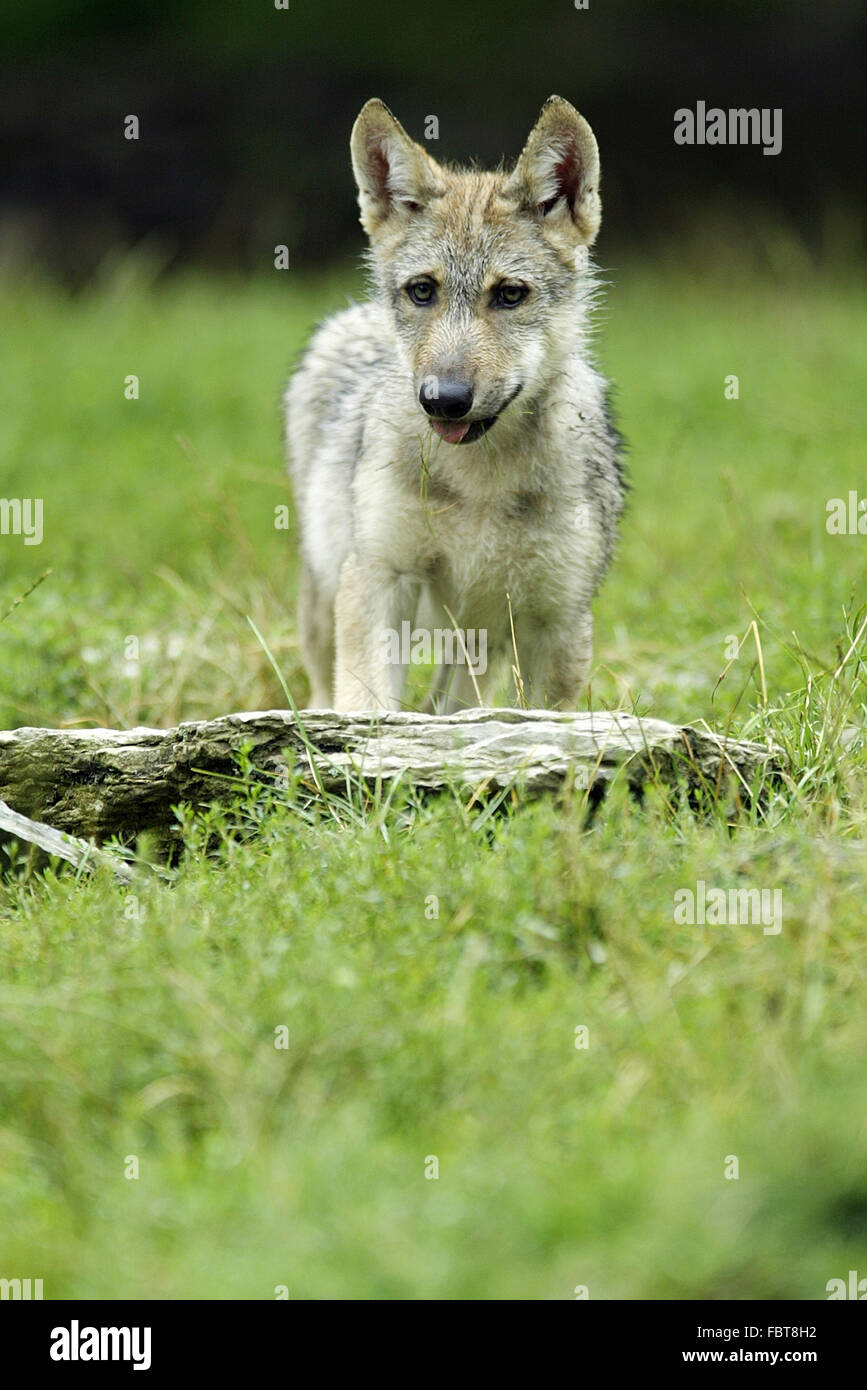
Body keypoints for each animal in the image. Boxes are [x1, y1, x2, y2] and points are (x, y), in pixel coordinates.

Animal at [284, 96, 625, 712]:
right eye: (423, 291)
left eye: (510, 294)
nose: (443, 401)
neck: (479, 483)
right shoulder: (380, 580)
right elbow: (368, 711)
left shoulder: (556, 623)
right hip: (328, 598)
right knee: (324, 693)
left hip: (477, 642)